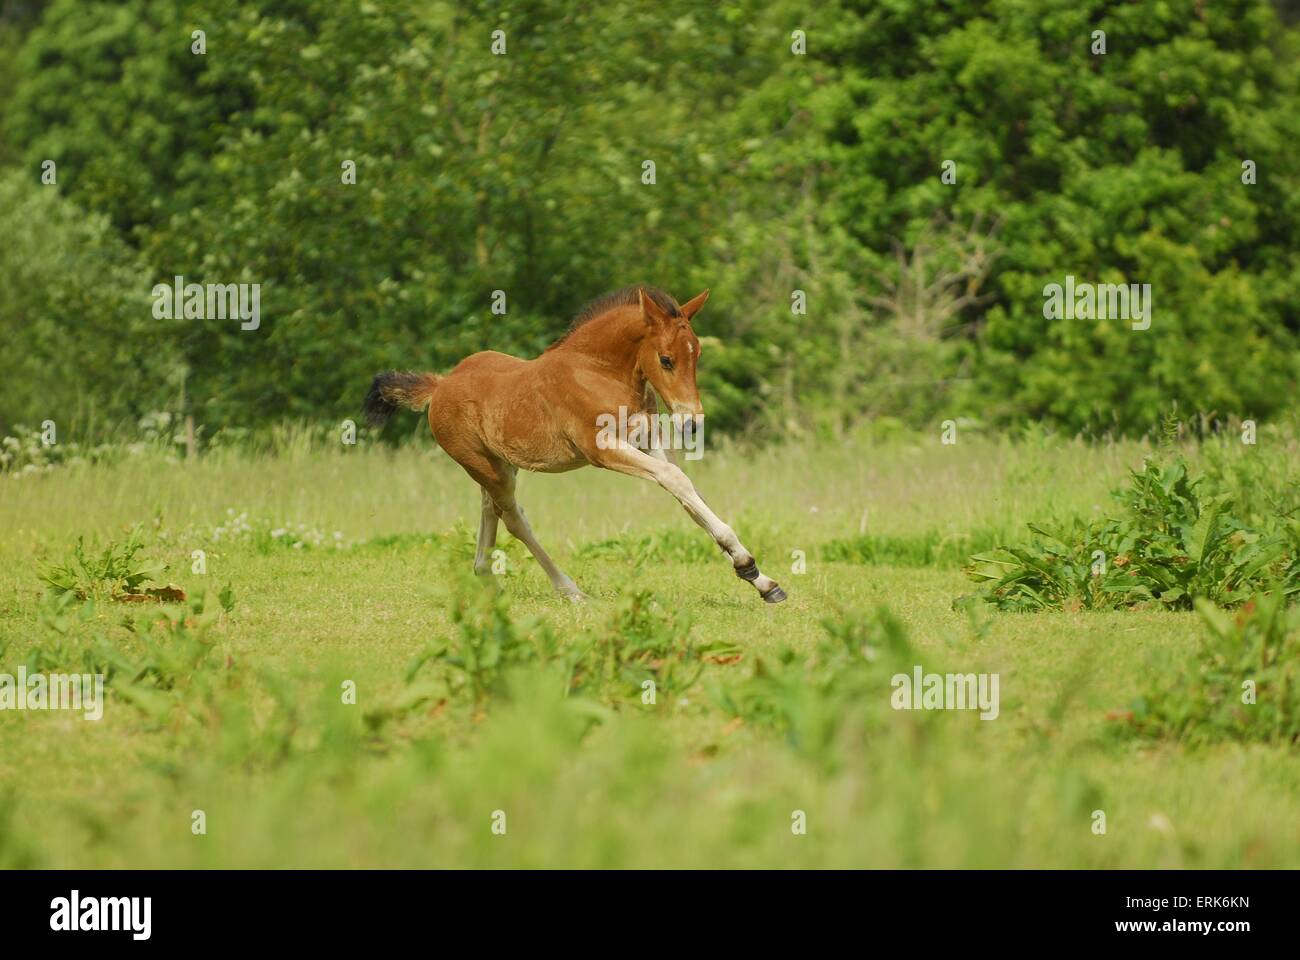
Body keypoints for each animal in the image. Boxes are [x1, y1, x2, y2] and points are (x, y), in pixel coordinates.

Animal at [362, 285, 786, 604]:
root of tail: (439, 386)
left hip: (498, 464)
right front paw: (746, 563)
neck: (600, 372)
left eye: (696, 354)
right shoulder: (602, 450)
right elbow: (675, 479)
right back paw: (568, 589)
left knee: (489, 509)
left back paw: (486, 577)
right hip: (482, 465)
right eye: (666, 360)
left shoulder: (649, 441)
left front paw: (761, 580)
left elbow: (683, 491)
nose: (691, 423)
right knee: (513, 516)